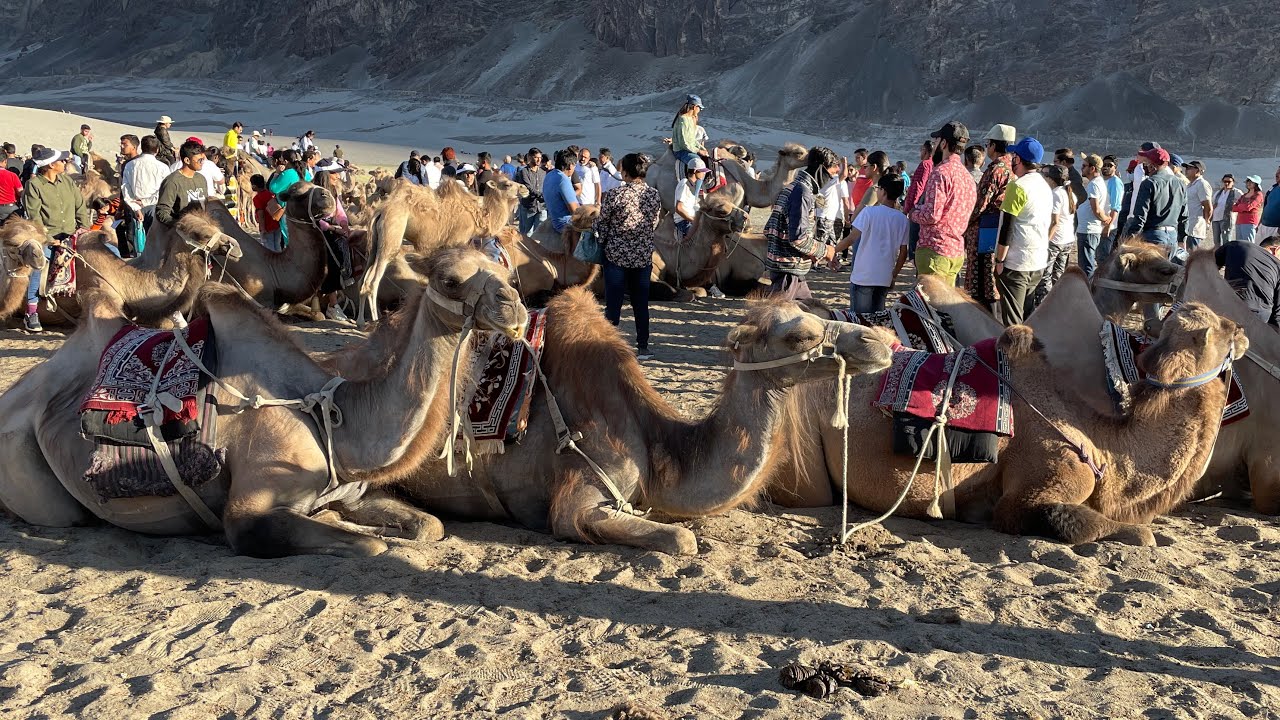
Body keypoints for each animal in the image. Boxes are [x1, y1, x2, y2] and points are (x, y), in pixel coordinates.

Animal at [0, 246, 528, 558]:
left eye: (508, 273)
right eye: (449, 280)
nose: (514, 307)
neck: (329, 418)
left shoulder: (355, 489)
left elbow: (429, 527)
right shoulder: (246, 513)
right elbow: (372, 548)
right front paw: (353, 531)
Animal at [318, 288, 895, 554]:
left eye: (818, 315)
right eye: (798, 335)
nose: (881, 342)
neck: (656, 442)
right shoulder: (576, 497)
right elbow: (680, 540)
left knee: (423, 521)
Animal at [358, 176, 529, 324]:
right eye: (507, 184)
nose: (525, 188)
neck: (478, 219)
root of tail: (381, 212)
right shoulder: (455, 241)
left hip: (374, 244)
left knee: (362, 279)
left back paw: (360, 321)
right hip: (391, 237)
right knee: (372, 281)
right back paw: (375, 320)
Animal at [770, 271, 1245, 545]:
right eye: (1220, 329)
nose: (1242, 330)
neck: (1106, 446)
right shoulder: (1036, 486)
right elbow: (1080, 522)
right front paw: (1140, 534)